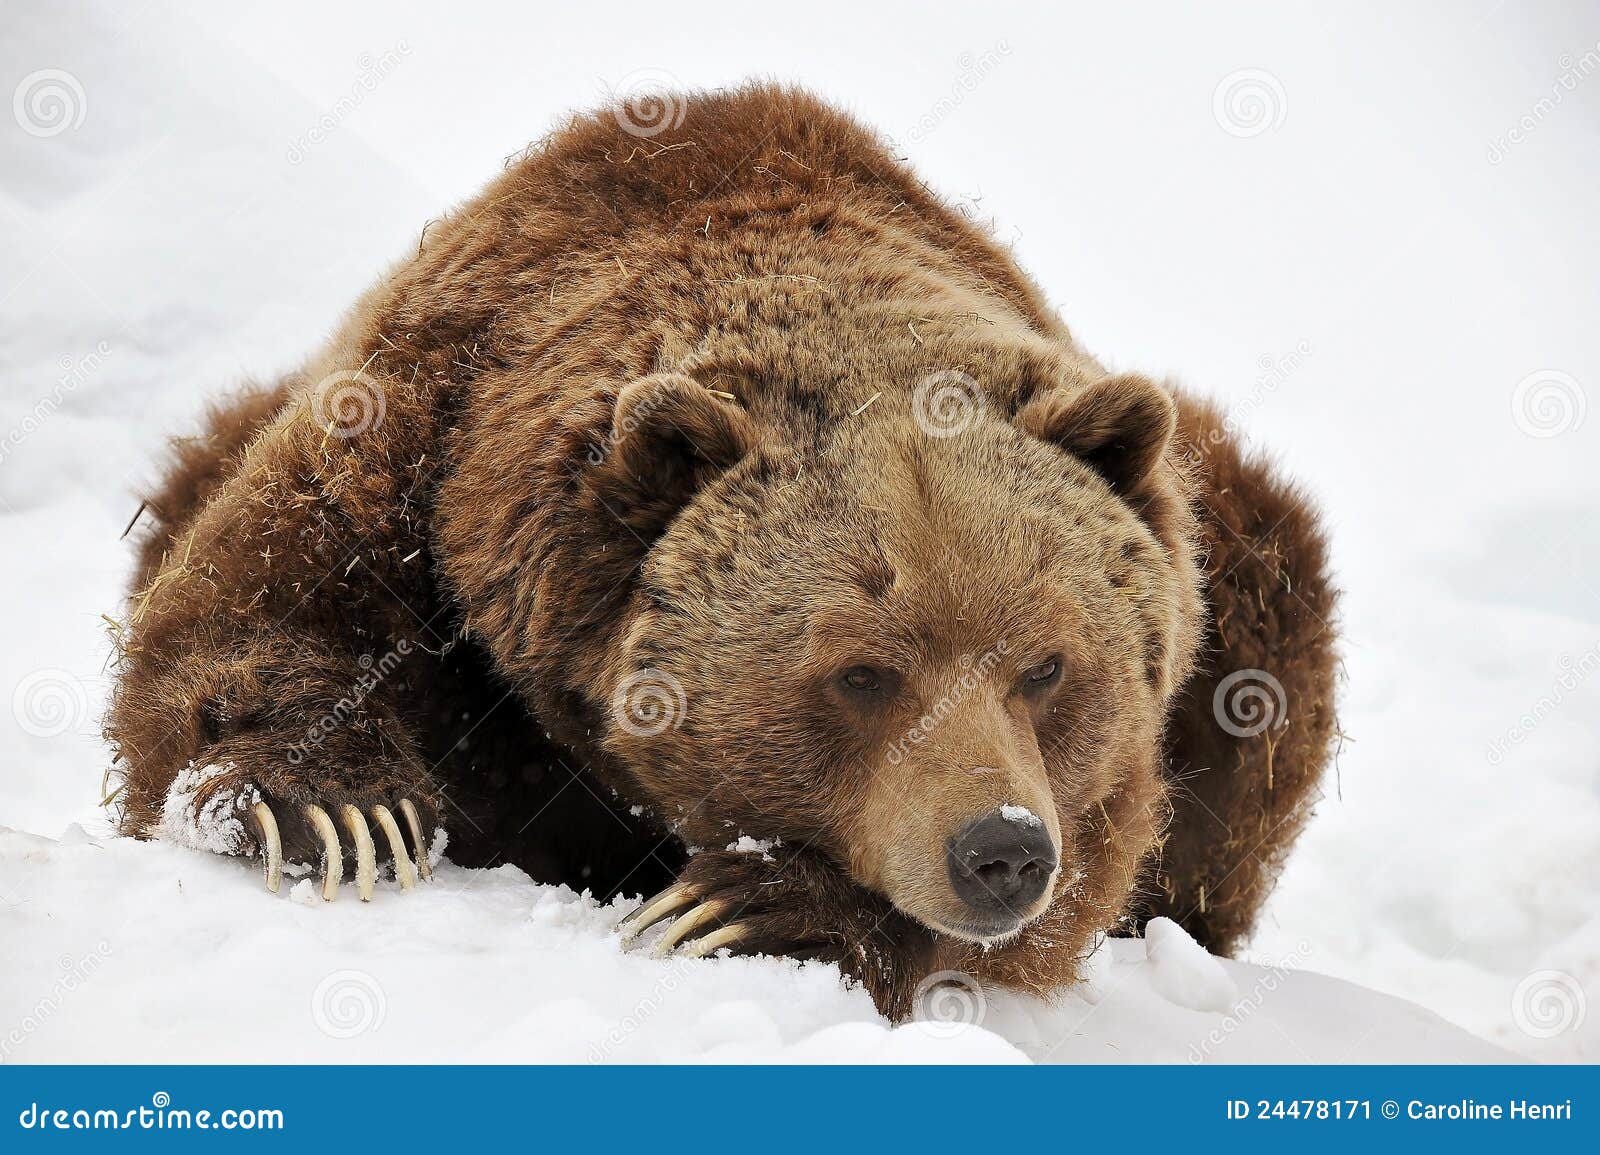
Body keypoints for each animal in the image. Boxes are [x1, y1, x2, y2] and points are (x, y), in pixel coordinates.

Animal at [105, 84, 1338, 1020]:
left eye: (1046, 666)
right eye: (862, 672)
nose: (999, 850)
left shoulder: (1127, 744)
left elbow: (1095, 856)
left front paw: (752, 906)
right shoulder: (427, 444)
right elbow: (248, 606)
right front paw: (332, 810)